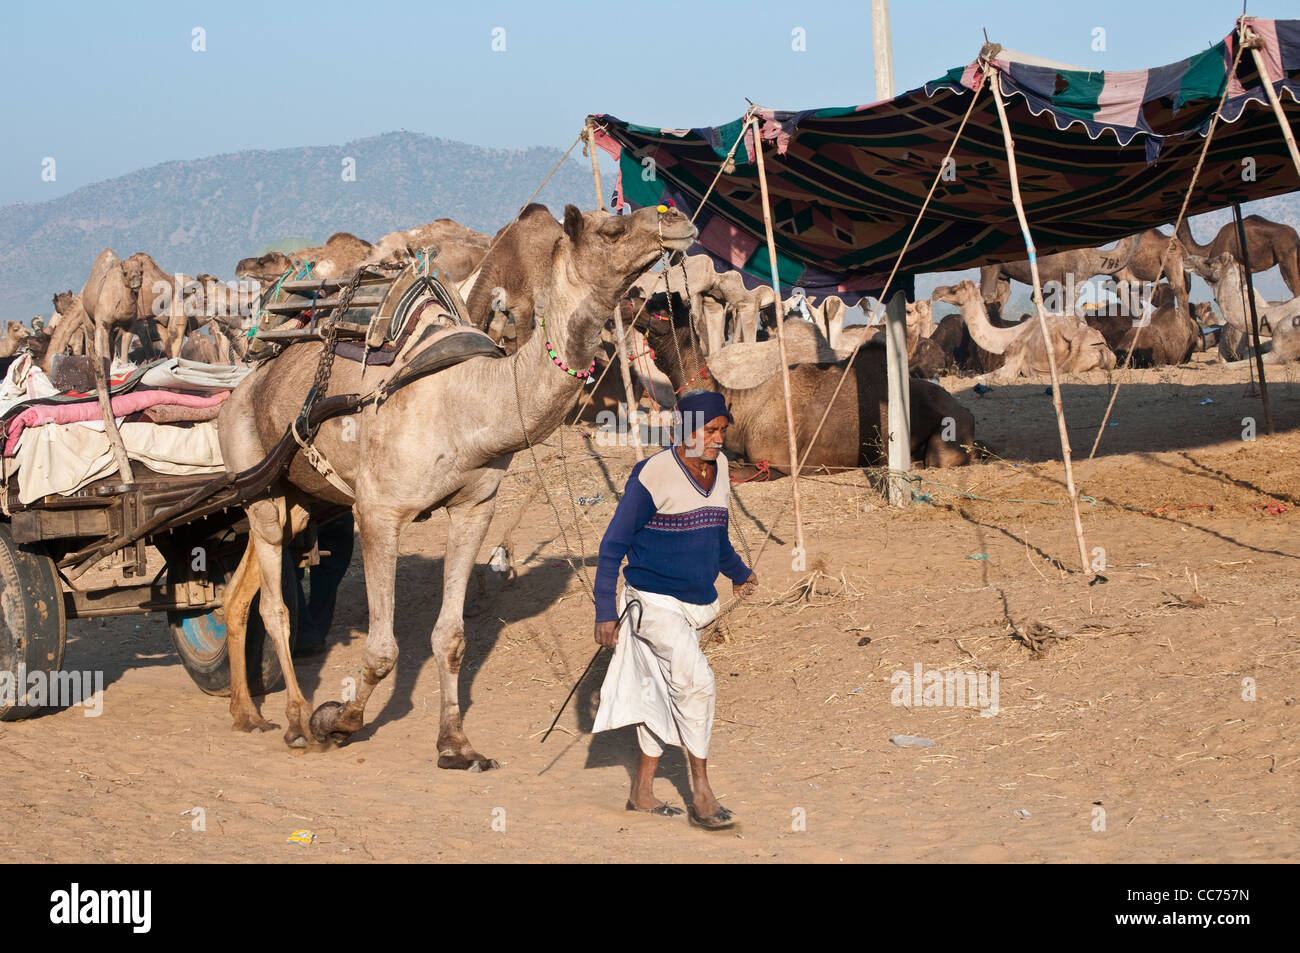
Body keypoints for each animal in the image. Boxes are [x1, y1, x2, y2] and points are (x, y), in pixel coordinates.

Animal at [215, 202, 697, 759]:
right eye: (612, 228)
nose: (677, 218)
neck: (471, 402)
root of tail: (240, 385)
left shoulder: (474, 507)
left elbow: (449, 636)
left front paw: (455, 743)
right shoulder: (378, 511)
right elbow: (383, 649)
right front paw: (338, 720)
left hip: (298, 497)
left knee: (241, 592)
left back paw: (246, 712)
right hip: (253, 475)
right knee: (274, 607)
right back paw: (294, 719)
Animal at [643, 309, 975, 470]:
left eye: (663, 316)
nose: (639, 304)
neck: (745, 407)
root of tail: (965, 411)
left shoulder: (775, 460)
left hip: (948, 437)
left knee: (938, 458)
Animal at [934, 280, 1116, 382]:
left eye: (955, 289)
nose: (936, 292)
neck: (1007, 337)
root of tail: (1102, 347)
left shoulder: (1012, 366)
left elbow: (978, 377)